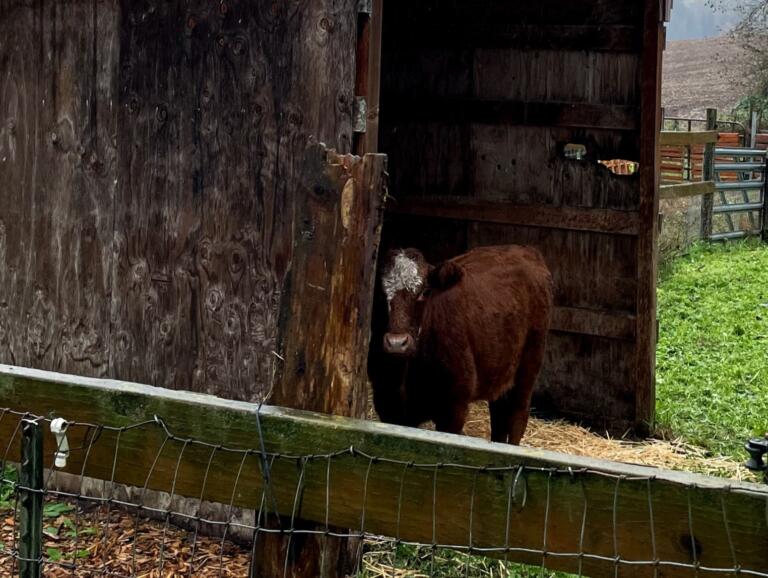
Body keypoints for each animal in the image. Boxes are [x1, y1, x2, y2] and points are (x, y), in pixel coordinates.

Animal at [368, 245, 553, 445]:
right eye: (380, 293)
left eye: (424, 291)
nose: (397, 343)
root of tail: (523, 249)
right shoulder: (388, 405)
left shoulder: (454, 408)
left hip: (530, 365)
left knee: (518, 416)